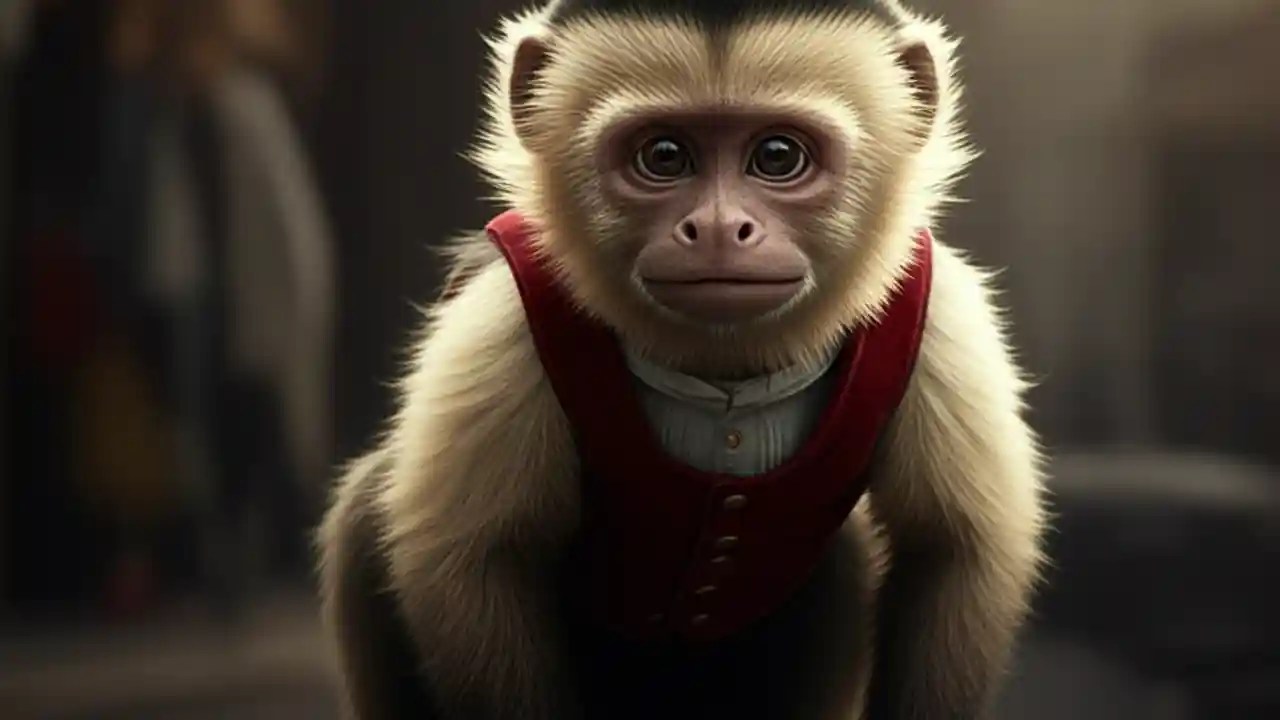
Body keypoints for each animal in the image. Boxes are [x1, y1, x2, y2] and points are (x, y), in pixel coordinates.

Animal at [318, 1, 1048, 719]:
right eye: (664, 156)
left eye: (777, 156)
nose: (720, 229)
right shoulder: (505, 323)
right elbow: (477, 563)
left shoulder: (939, 310)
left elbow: (952, 552)